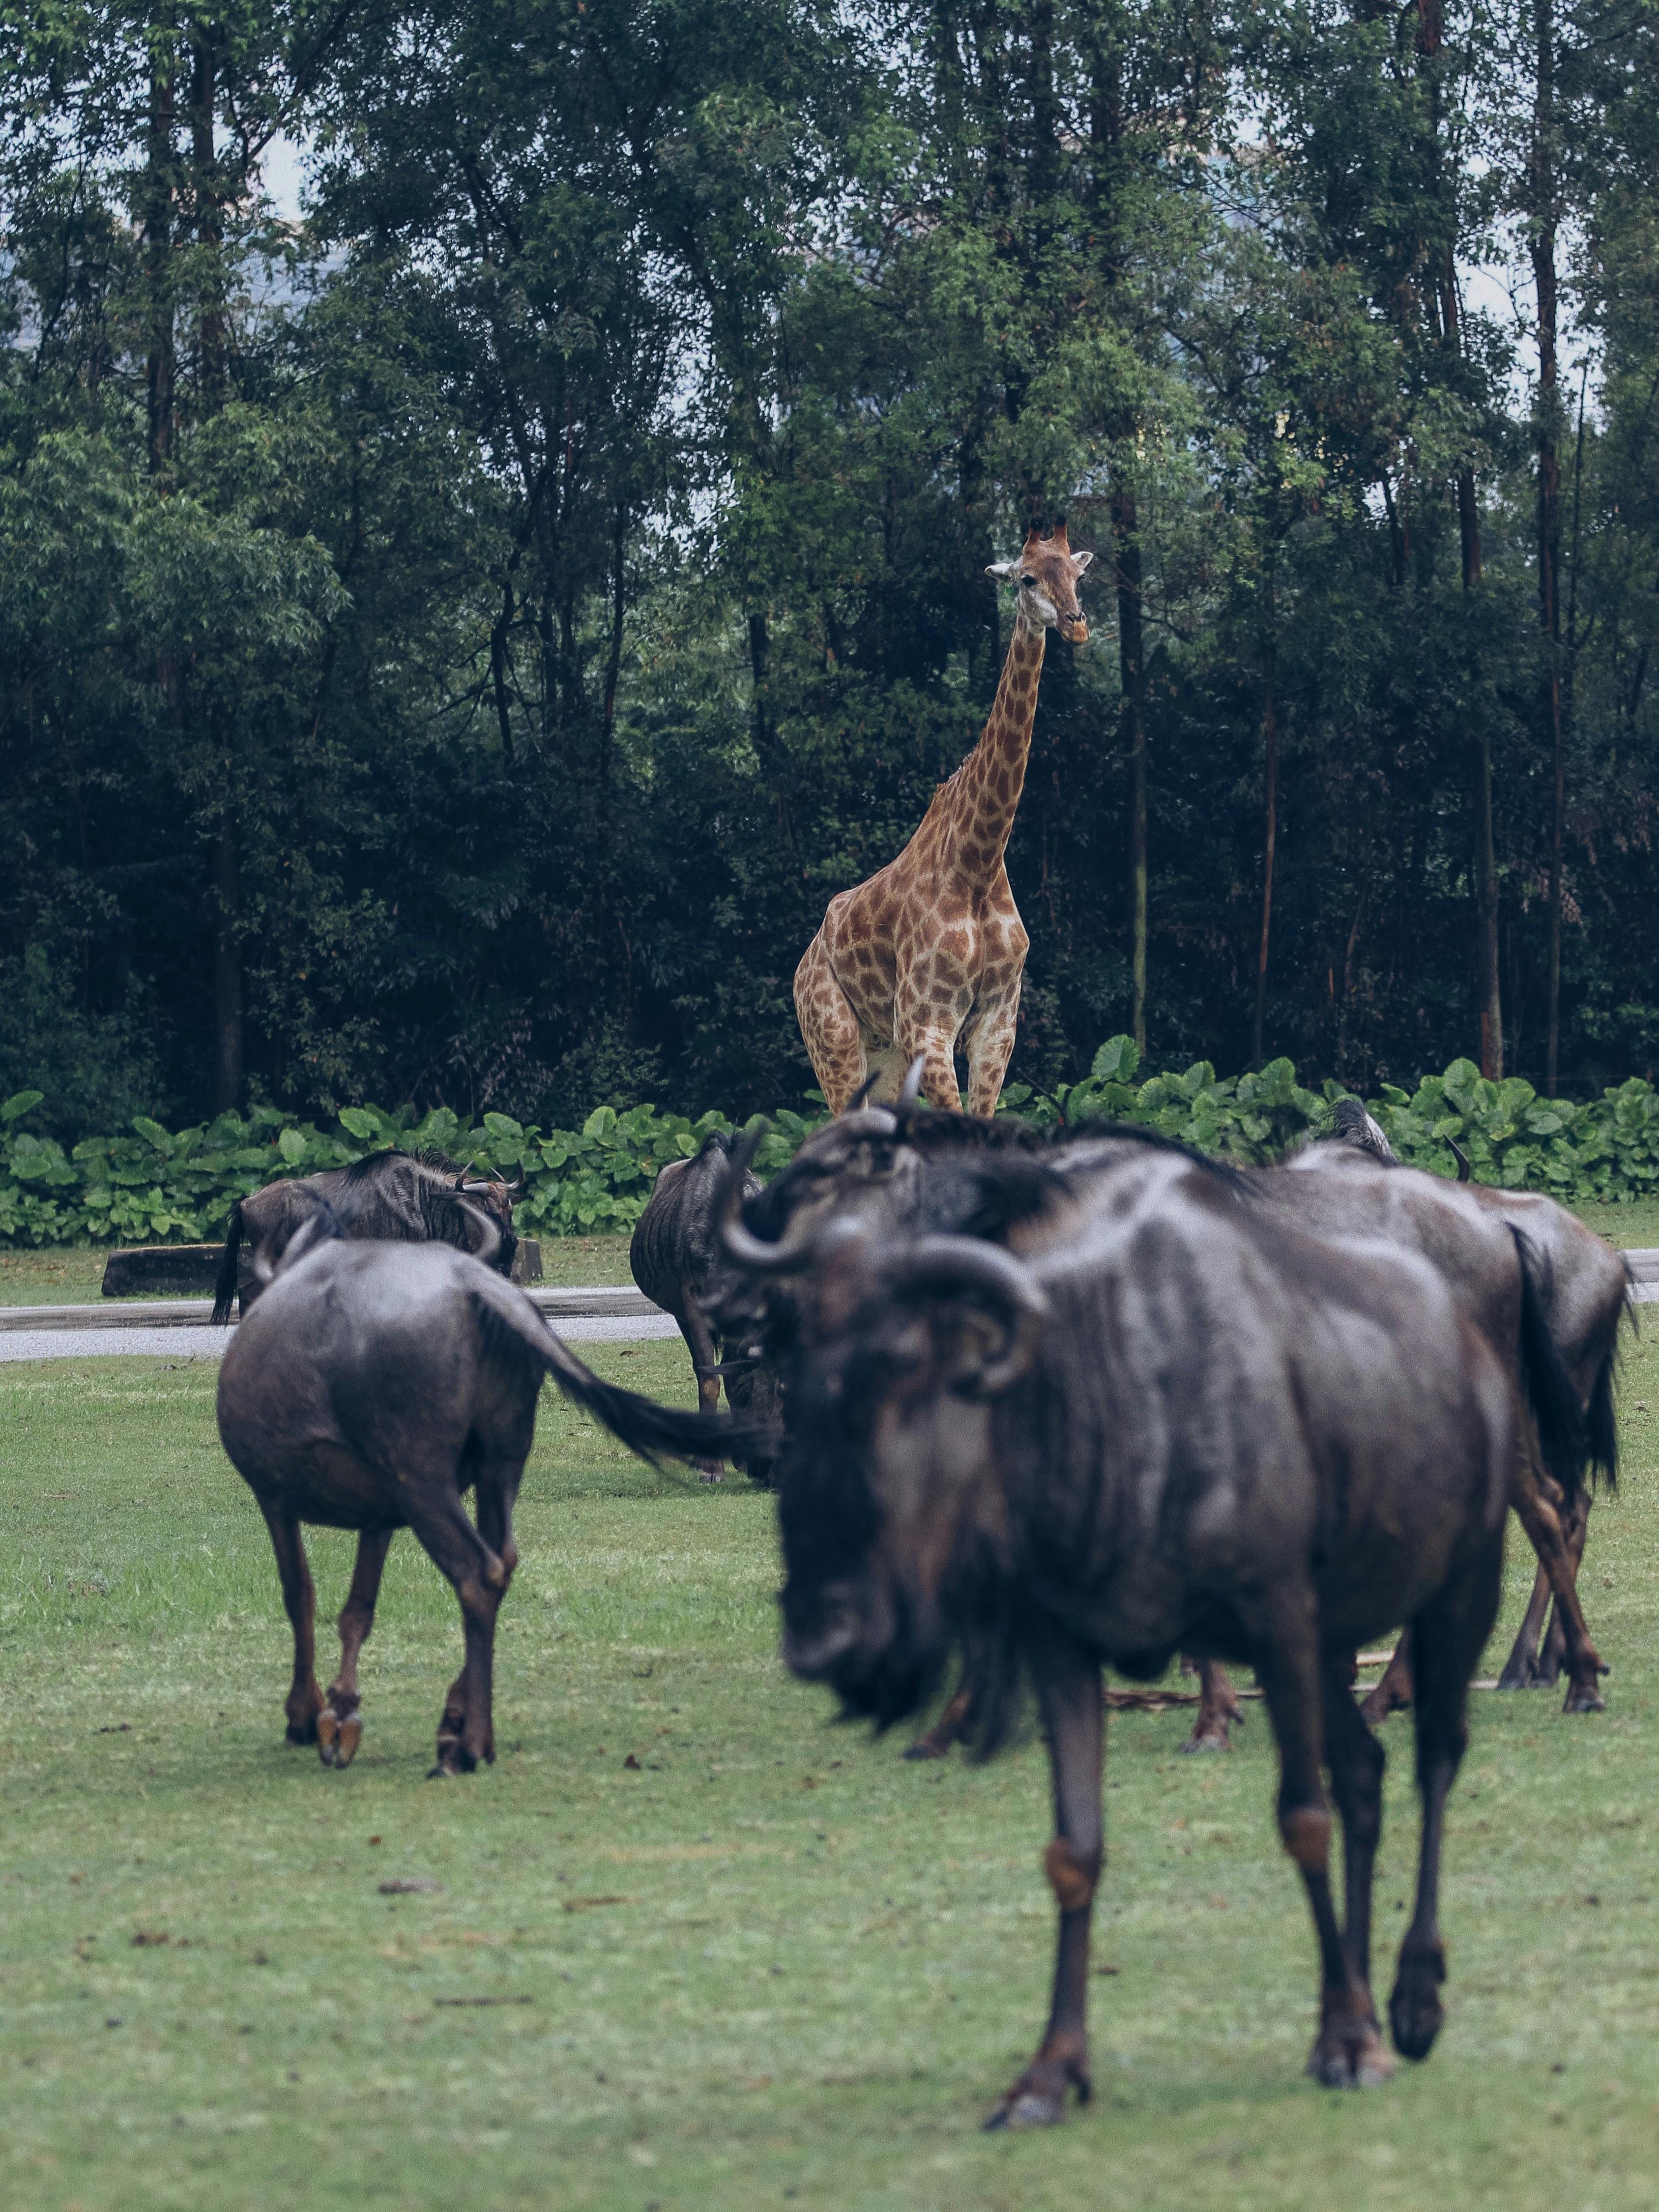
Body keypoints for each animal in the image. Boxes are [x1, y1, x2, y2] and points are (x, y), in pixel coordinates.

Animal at [794, 525, 1092, 1115]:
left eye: (1077, 573)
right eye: (1027, 578)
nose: (1077, 624)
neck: (978, 863)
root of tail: (804, 961)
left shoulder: (998, 1025)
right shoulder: (926, 1027)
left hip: (883, 1060)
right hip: (834, 1043)